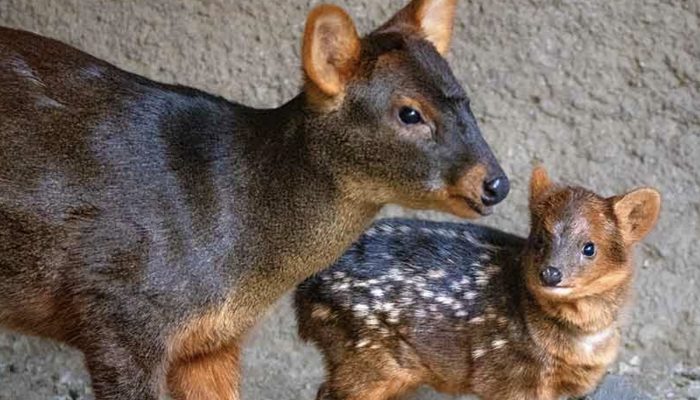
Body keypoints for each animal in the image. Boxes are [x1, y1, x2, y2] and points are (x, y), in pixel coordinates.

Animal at [295, 166, 661, 400]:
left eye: (589, 248)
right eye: (540, 240)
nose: (551, 273)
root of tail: (303, 294)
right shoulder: (510, 378)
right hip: (366, 355)